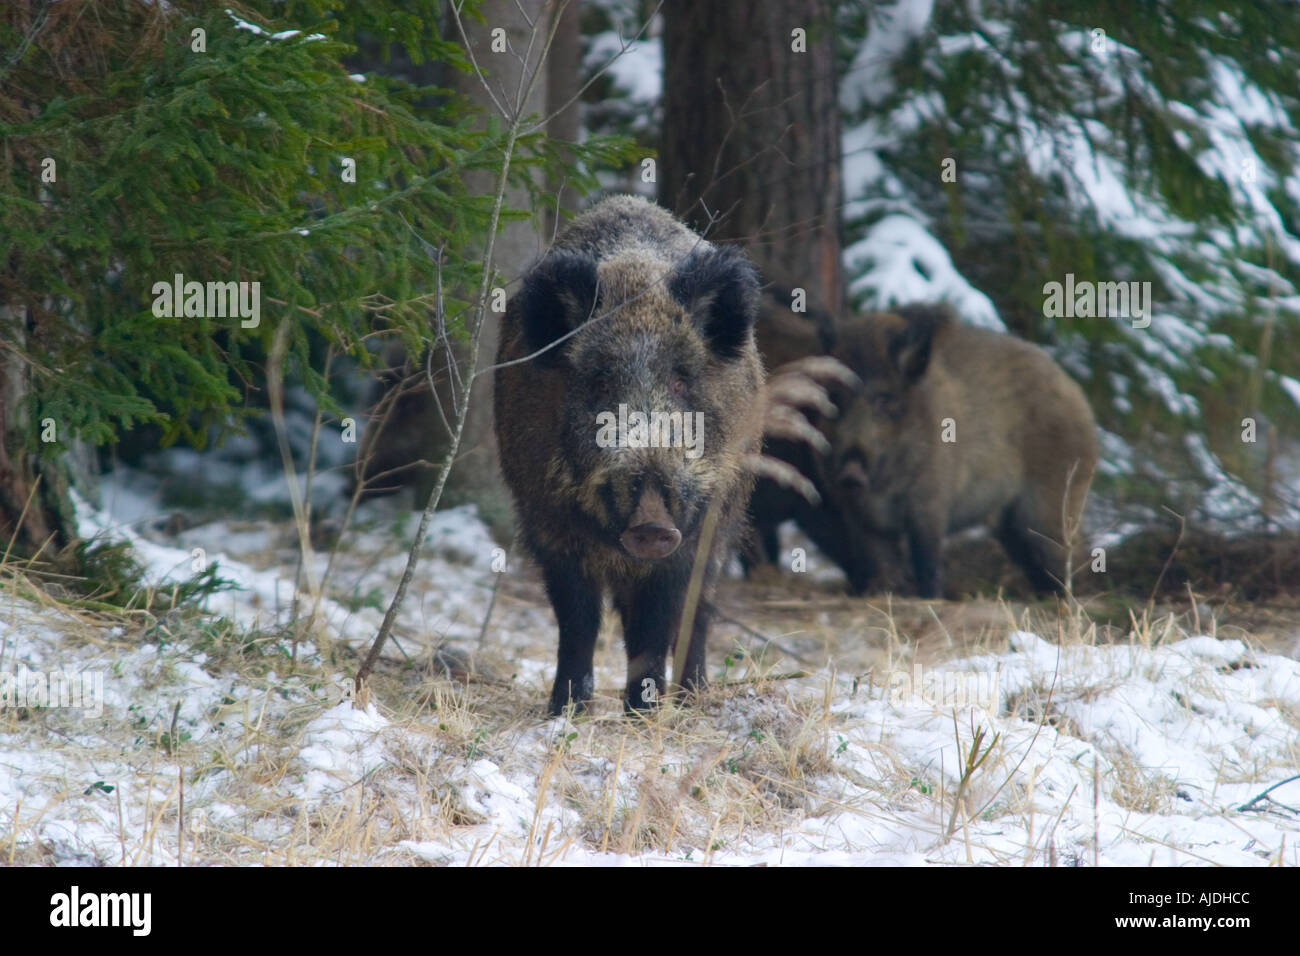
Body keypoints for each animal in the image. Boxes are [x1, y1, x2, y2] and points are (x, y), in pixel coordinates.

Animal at [494, 195, 764, 715]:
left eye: (680, 380)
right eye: (600, 382)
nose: (652, 525)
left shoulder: (693, 534)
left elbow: (657, 625)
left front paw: (644, 712)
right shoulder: (547, 522)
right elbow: (577, 622)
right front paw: (565, 711)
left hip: (725, 521)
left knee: (700, 611)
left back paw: (693, 697)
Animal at [829, 304, 1098, 598]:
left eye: (884, 399)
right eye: (837, 396)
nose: (850, 473)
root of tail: (1079, 398)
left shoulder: (930, 503)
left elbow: (926, 558)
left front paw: (929, 597)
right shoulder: (859, 517)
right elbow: (876, 563)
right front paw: (877, 592)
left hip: (1053, 502)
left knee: (1068, 554)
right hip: (1011, 523)